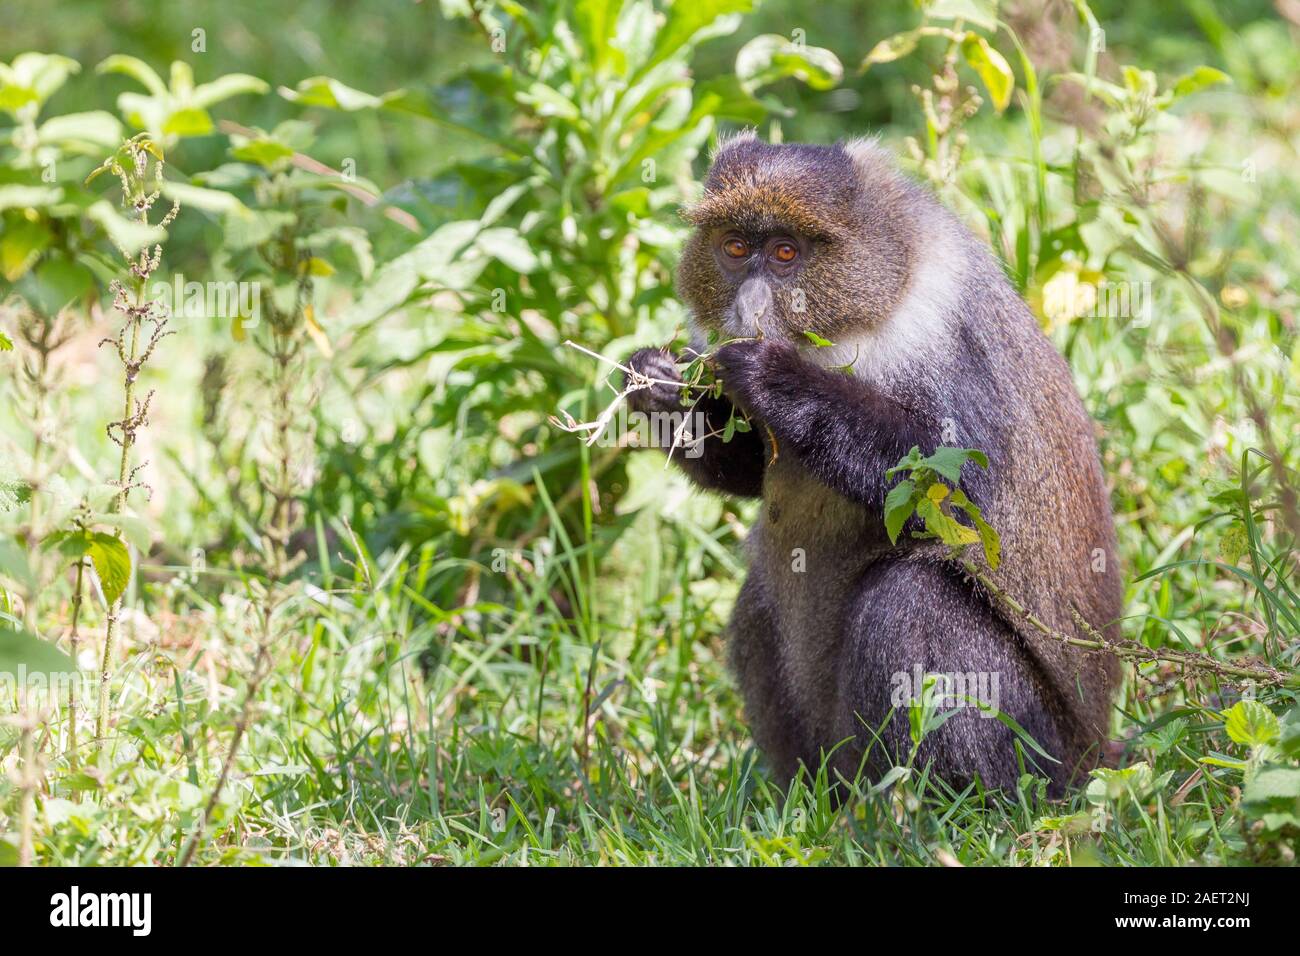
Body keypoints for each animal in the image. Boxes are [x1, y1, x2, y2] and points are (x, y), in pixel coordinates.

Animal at [624, 133, 1121, 795]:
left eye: (786, 253)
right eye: (734, 248)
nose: (749, 307)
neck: (865, 312)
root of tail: (1092, 755)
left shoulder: (948, 335)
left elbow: (962, 494)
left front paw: (773, 376)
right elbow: (752, 471)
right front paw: (660, 387)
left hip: (1042, 749)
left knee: (912, 600)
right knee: (757, 605)